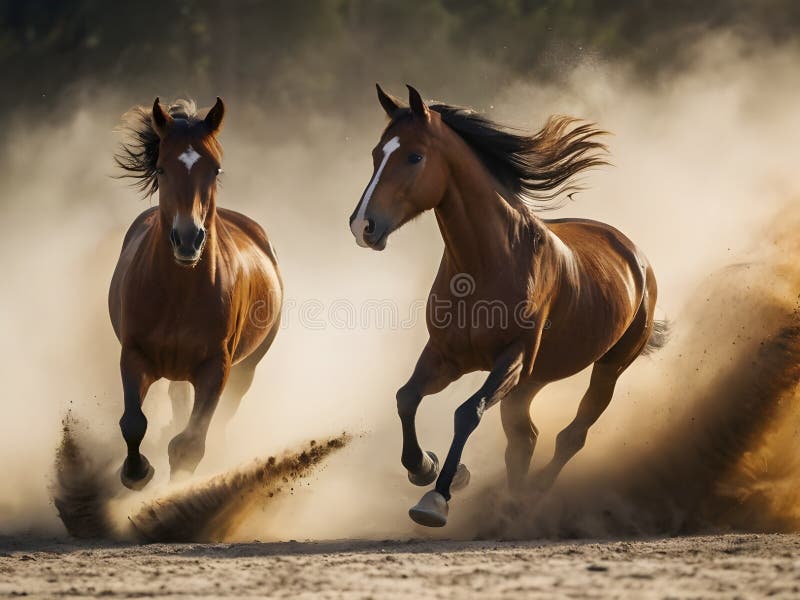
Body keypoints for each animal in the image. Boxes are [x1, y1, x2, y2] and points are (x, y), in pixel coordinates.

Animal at [110, 98, 282, 489]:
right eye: (161, 169)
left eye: (215, 169)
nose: (188, 239)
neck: (179, 294)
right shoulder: (134, 354)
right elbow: (133, 422)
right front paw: (137, 473)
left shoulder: (216, 367)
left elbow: (189, 445)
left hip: (246, 368)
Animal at [348, 84, 667, 527]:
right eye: (377, 153)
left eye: (413, 156)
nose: (362, 226)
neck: (487, 263)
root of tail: (634, 255)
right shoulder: (447, 355)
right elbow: (406, 397)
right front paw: (425, 468)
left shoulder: (512, 358)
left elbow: (467, 412)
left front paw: (437, 497)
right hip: (532, 381)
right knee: (525, 438)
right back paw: (510, 505)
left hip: (608, 367)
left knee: (572, 435)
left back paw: (530, 499)